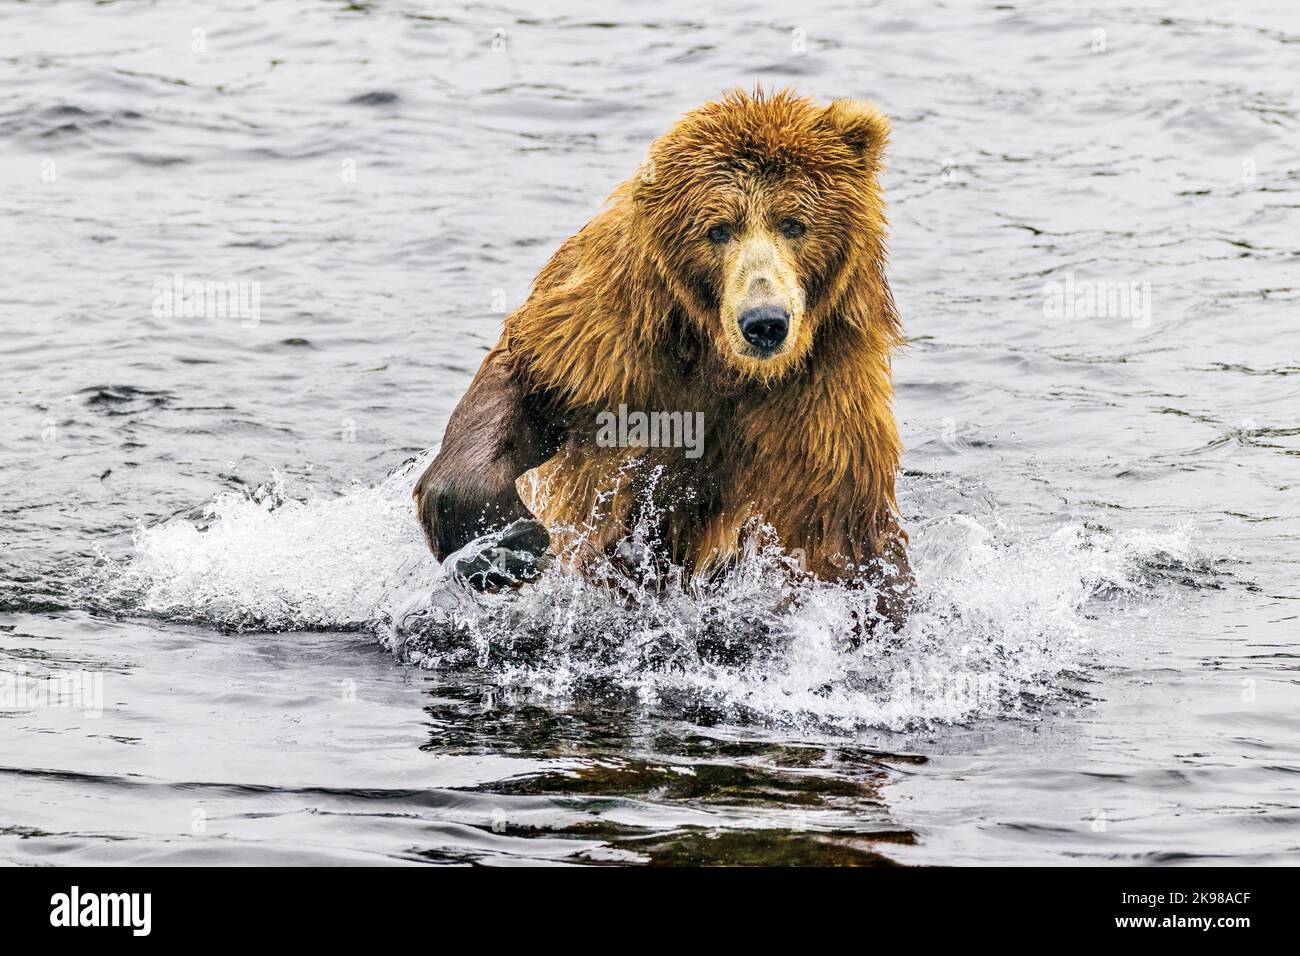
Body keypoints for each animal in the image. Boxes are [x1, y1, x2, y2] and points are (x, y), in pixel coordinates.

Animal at [414, 88, 912, 629]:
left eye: (794, 224)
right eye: (718, 230)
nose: (764, 321)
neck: (724, 362)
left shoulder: (823, 399)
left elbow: (845, 535)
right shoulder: (612, 341)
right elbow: (525, 386)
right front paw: (505, 540)